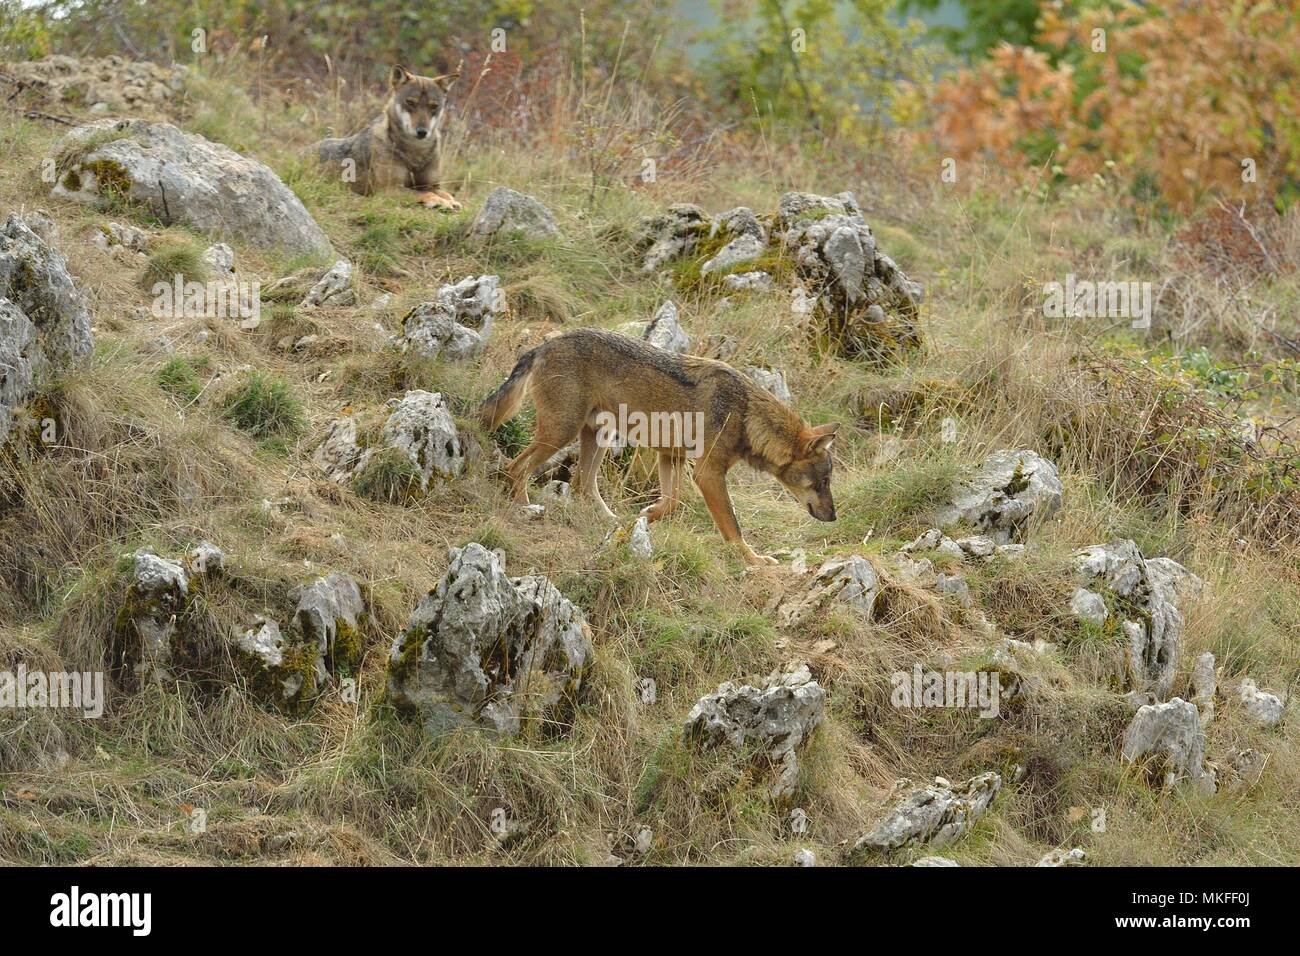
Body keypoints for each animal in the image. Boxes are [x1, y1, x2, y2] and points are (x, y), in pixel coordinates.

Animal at [315, 65, 461, 210]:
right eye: (410, 102)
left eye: (434, 106)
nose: (422, 132)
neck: (416, 151)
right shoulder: (389, 188)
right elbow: (424, 193)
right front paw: (439, 201)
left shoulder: (432, 185)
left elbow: (445, 193)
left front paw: (452, 201)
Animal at [479, 329, 839, 567]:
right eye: (823, 482)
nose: (834, 516)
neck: (746, 414)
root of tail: (544, 344)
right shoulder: (708, 474)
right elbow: (733, 529)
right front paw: (754, 560)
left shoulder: (671, 458)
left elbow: (672, 504)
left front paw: (646, 516)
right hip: (561, 432)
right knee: (516, 467)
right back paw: (524, 509)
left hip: (597, 436)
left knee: (582, 485)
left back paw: (613, 523)